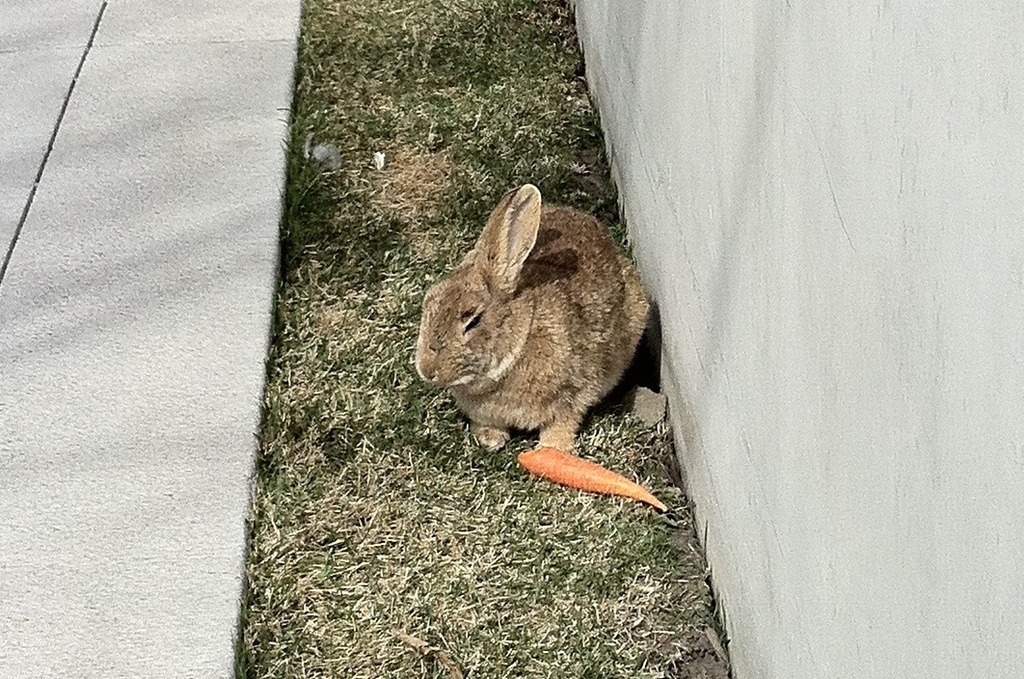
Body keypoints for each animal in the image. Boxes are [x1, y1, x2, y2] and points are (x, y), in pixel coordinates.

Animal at [415, 184, 649, 453]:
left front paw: (552, 449)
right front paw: (490, 438)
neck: (521, 341)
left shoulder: (573, 393)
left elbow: (563, 422)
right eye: (429, 301)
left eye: (473, 321)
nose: (427, 370)